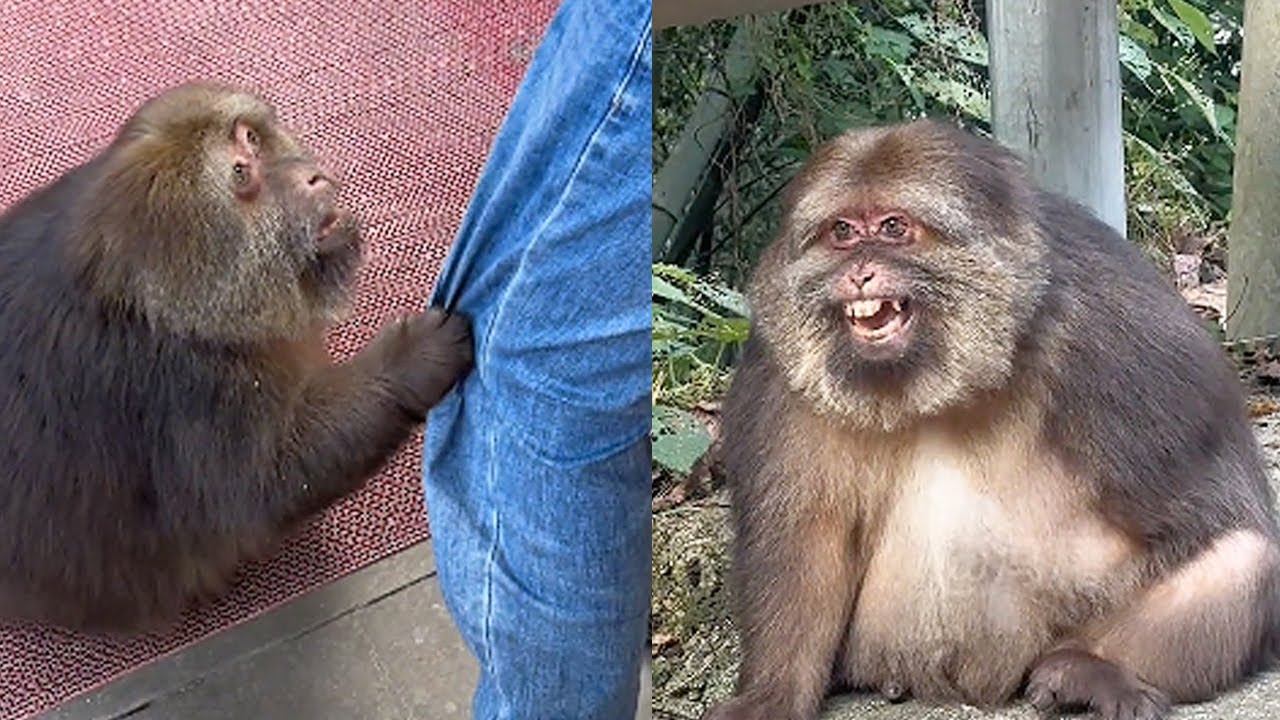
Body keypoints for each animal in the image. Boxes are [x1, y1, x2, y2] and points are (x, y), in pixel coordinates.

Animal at [0, 82, 473, 633]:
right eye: (243, 176)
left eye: (251, 137)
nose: (311, 177)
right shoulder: (195, 386)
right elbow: (263, 488)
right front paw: (407, 363)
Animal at [704, 119, 1280, 720]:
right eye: (842, 231)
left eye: (893, 227)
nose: (860, 272)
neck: (938, 381)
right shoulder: (782, 374)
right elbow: (802, 535)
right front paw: (772, 694)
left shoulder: (1120, 337)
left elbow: (1210, 507)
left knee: (1245, 559)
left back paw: (1084, 666)